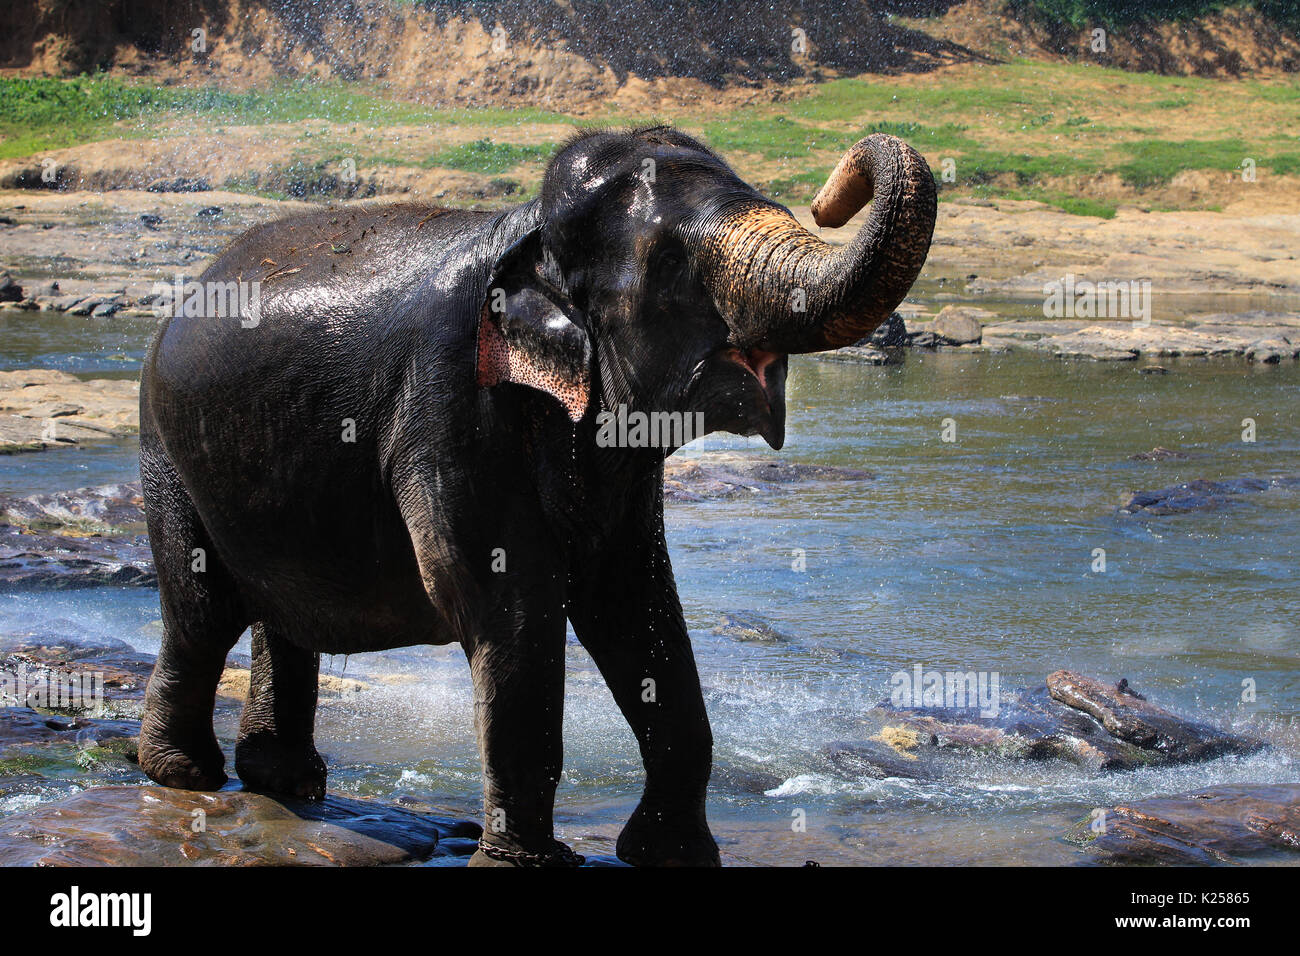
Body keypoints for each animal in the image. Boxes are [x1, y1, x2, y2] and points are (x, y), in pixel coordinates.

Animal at [137, 125, 936, 866]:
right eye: (671, 266)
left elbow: (635, 605)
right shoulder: (450, 403)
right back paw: (184, 775)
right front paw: (528, 862)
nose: (827, 201)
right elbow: (508, 603)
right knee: (201, 612)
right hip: (163, 448)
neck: (525, 233)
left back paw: (286, 782)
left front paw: (669, 856)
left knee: (281, 618)